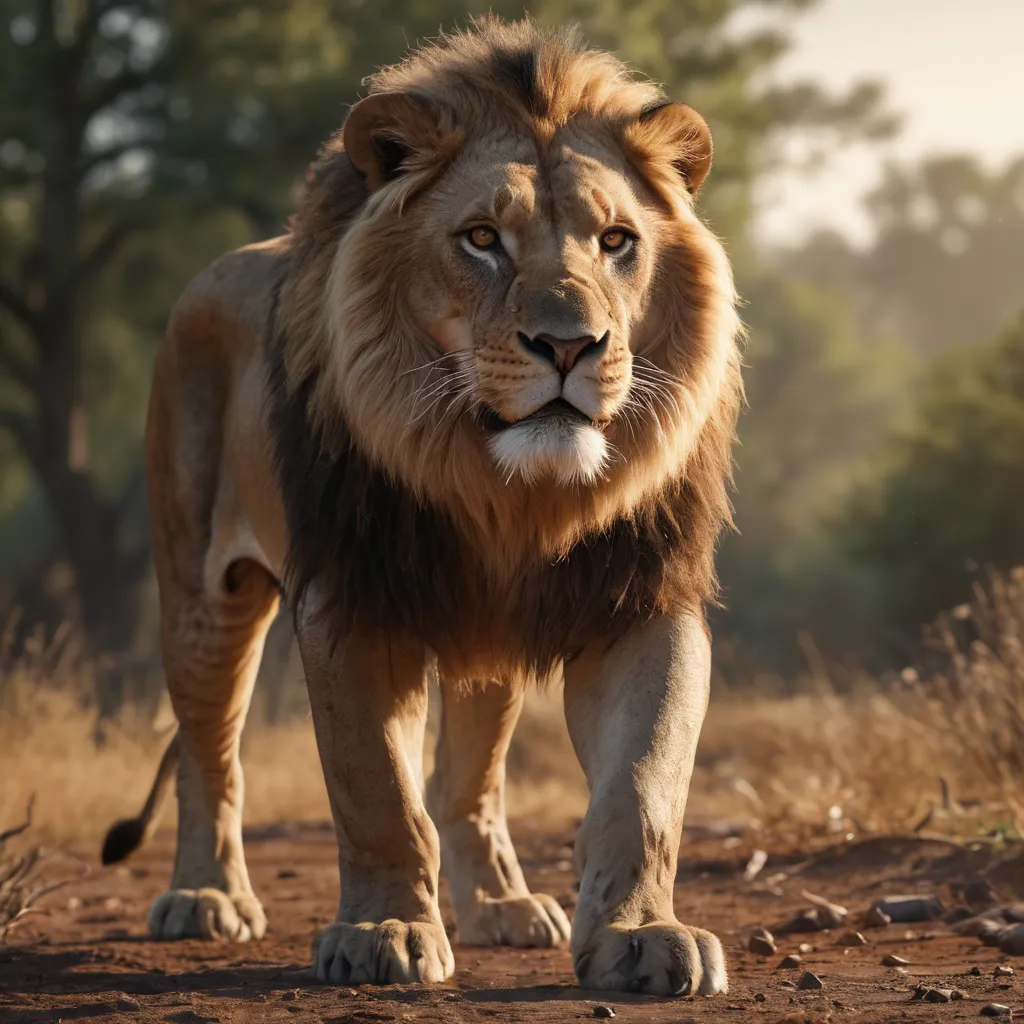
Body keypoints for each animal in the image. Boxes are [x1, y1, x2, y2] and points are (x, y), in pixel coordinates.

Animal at [101, 18, 742, 997]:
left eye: (616, 241)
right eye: (481, 238)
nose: (571, 345)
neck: (508, 493)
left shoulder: (640, 595)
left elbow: (643, 784)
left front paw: (642, 934)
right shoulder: (351, 597)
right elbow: (375, 789)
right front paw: (384, 931)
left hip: (488, 640)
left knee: (468, 781)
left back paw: (501, 904)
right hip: (201, 599)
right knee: (209, 752)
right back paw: (205, 898)